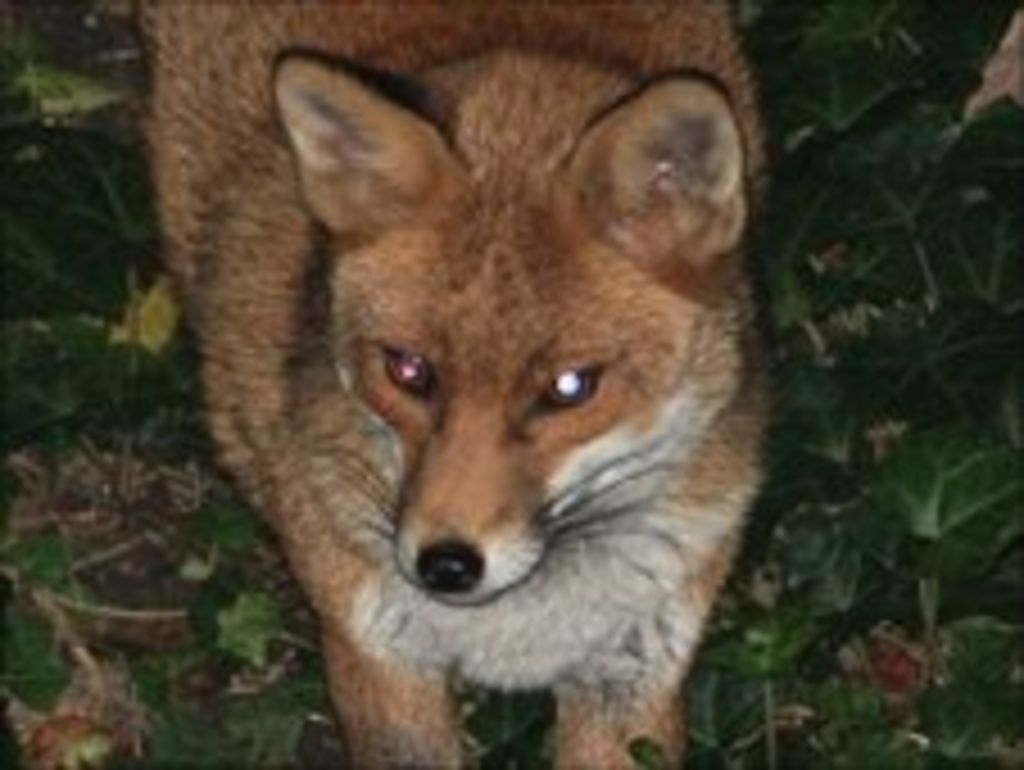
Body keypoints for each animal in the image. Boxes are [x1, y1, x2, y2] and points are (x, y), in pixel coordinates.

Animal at [141, 1, 767, 767]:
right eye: (409, 371)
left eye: (570, 387)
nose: (445, 566)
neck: (519, 631)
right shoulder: (380, 659)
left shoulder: (631, 671)